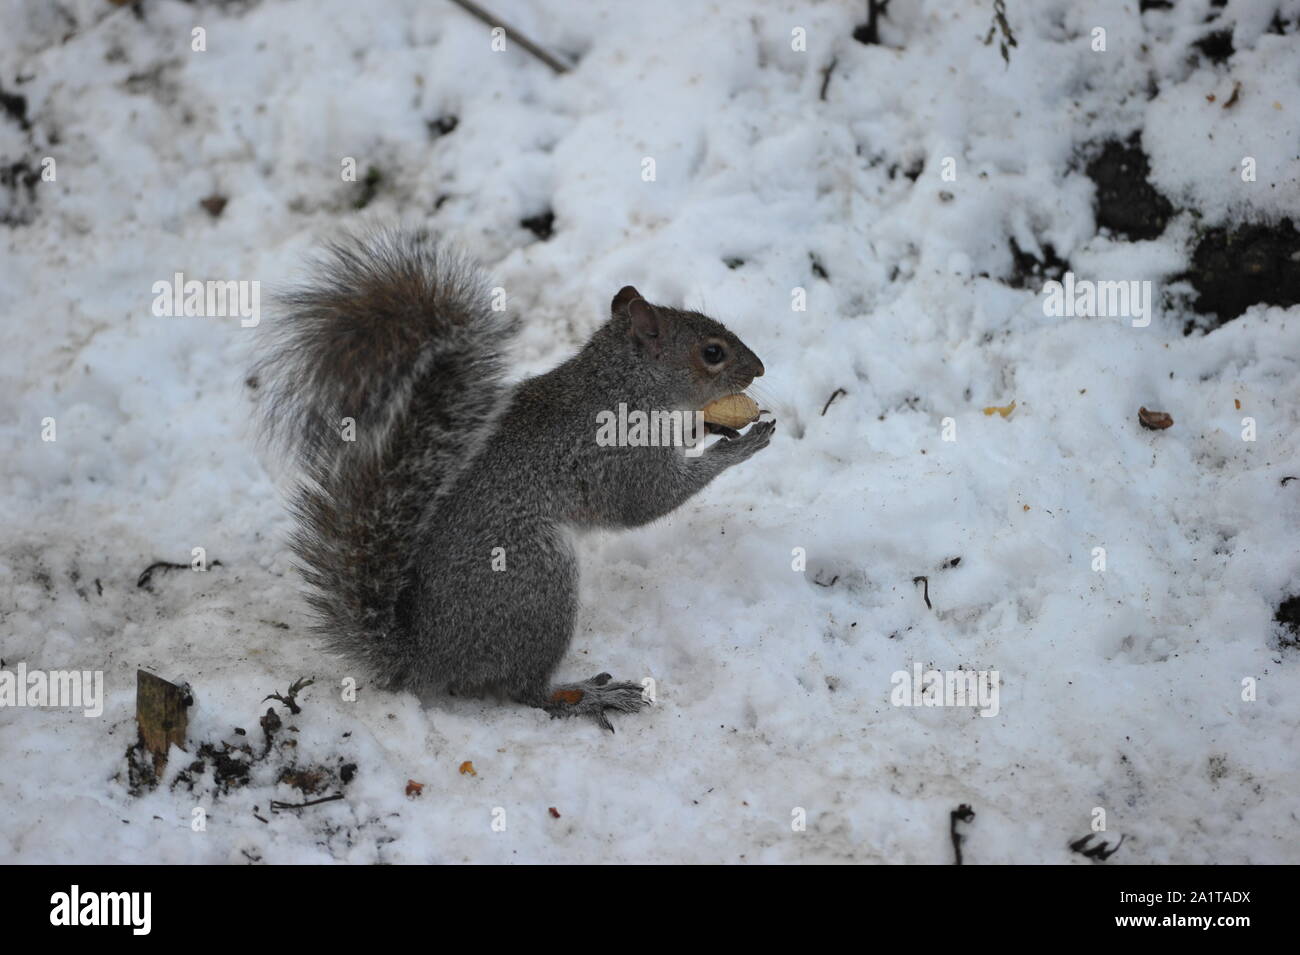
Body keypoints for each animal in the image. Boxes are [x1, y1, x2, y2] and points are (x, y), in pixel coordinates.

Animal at [254, 230, 774, 730]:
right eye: (712, 353)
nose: (760, 368)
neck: (625, 382)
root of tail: (424, 658)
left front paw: (713, 425)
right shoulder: (618, 459)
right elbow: (649, 502)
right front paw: (735, 448)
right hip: (536, 580)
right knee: (525, 691)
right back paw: (585, 696)